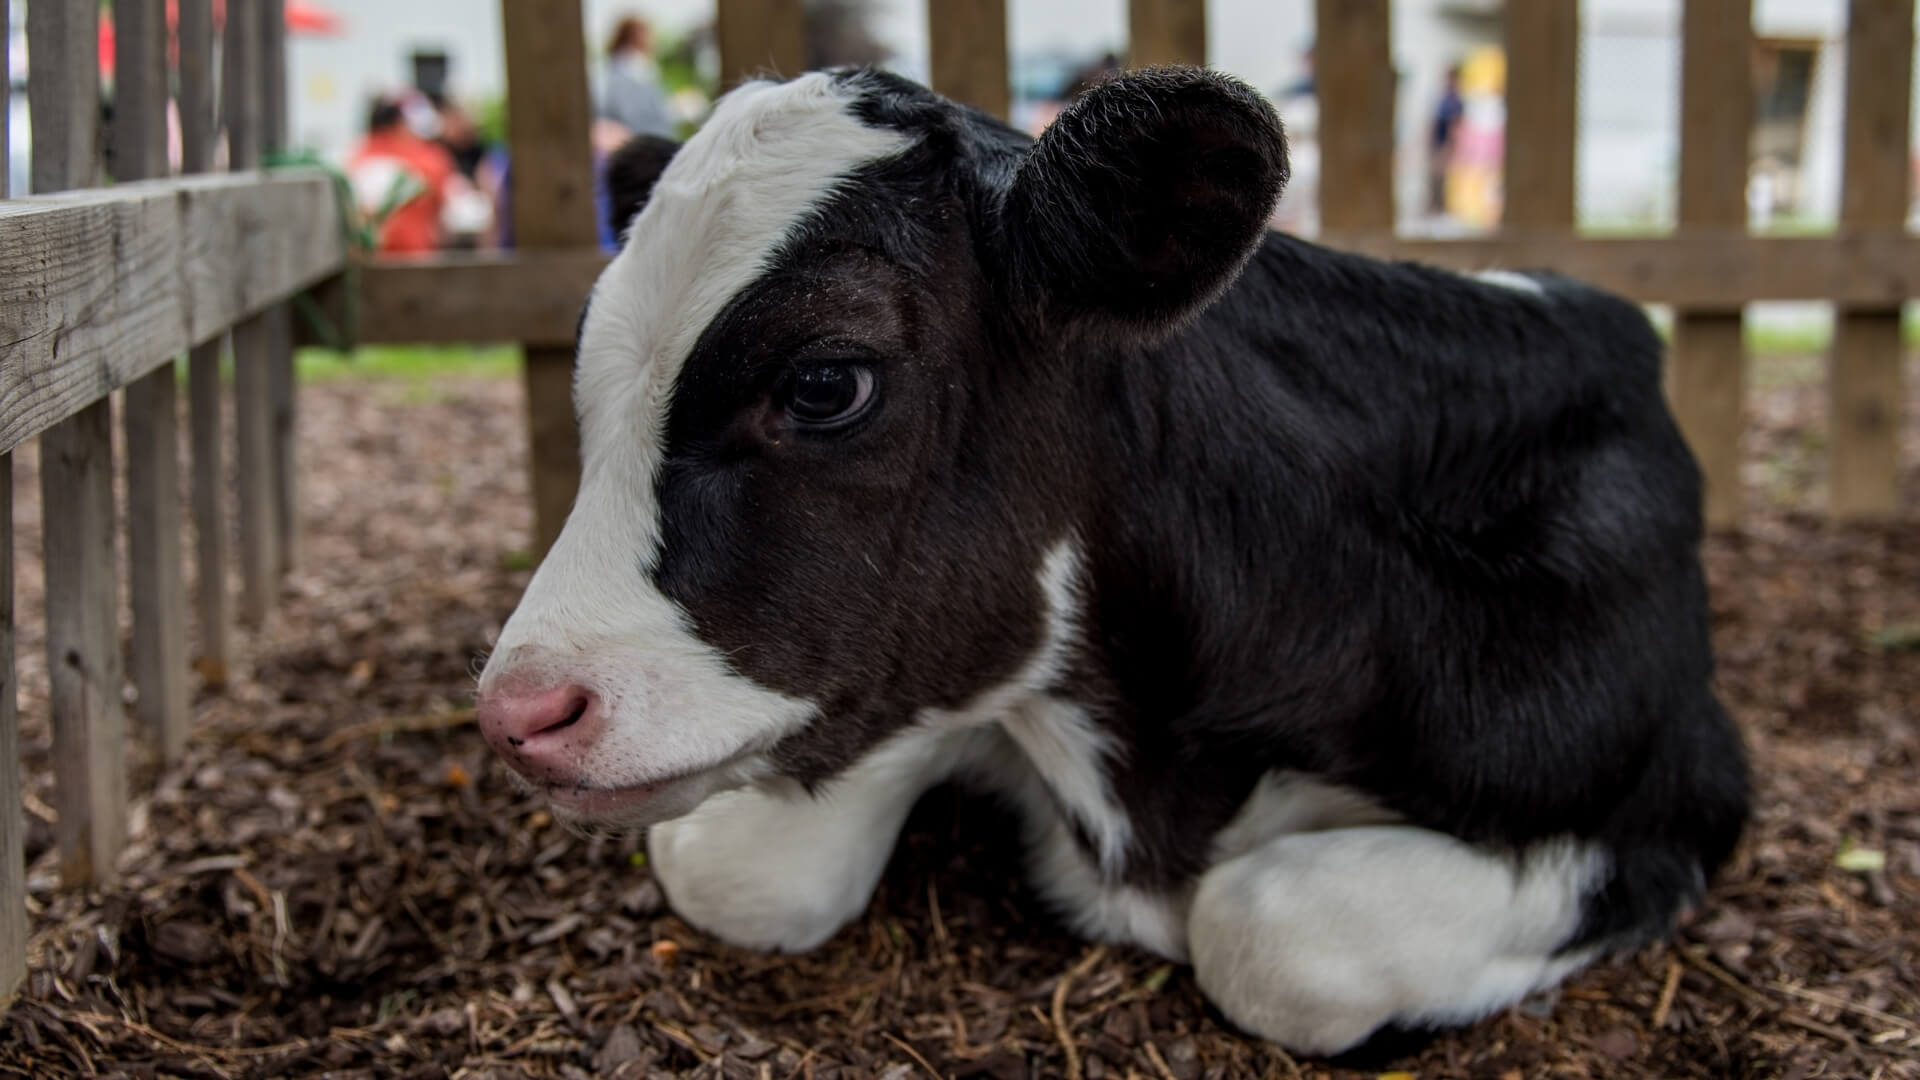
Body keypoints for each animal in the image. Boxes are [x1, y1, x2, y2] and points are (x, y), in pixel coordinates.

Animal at [473, 65, 1750, 1058]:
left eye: (826, 381)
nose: (519, 712)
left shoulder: (1672, 787)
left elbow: (1270, 930)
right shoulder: (951, 665)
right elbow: (740, 864)